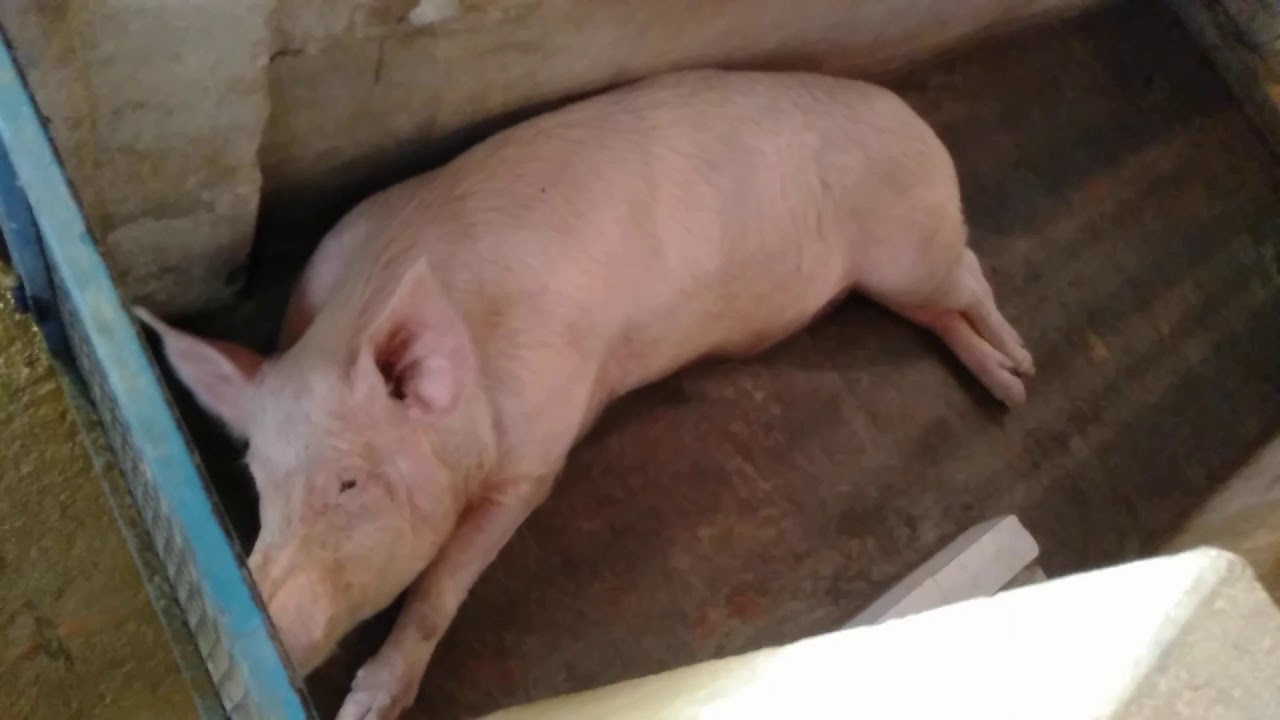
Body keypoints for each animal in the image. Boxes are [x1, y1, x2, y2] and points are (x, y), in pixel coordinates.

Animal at [136, 68, 1033, 719]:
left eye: (350, 483)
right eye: (260, 486)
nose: (259, 620)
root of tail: (912, 116)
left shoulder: (538, 448)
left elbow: (442, 583)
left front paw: (367, 708)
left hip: (907, 247)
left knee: (970, 271)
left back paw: (1021, 371)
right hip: (884, 282)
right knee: (940, 310)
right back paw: (1004, 389)